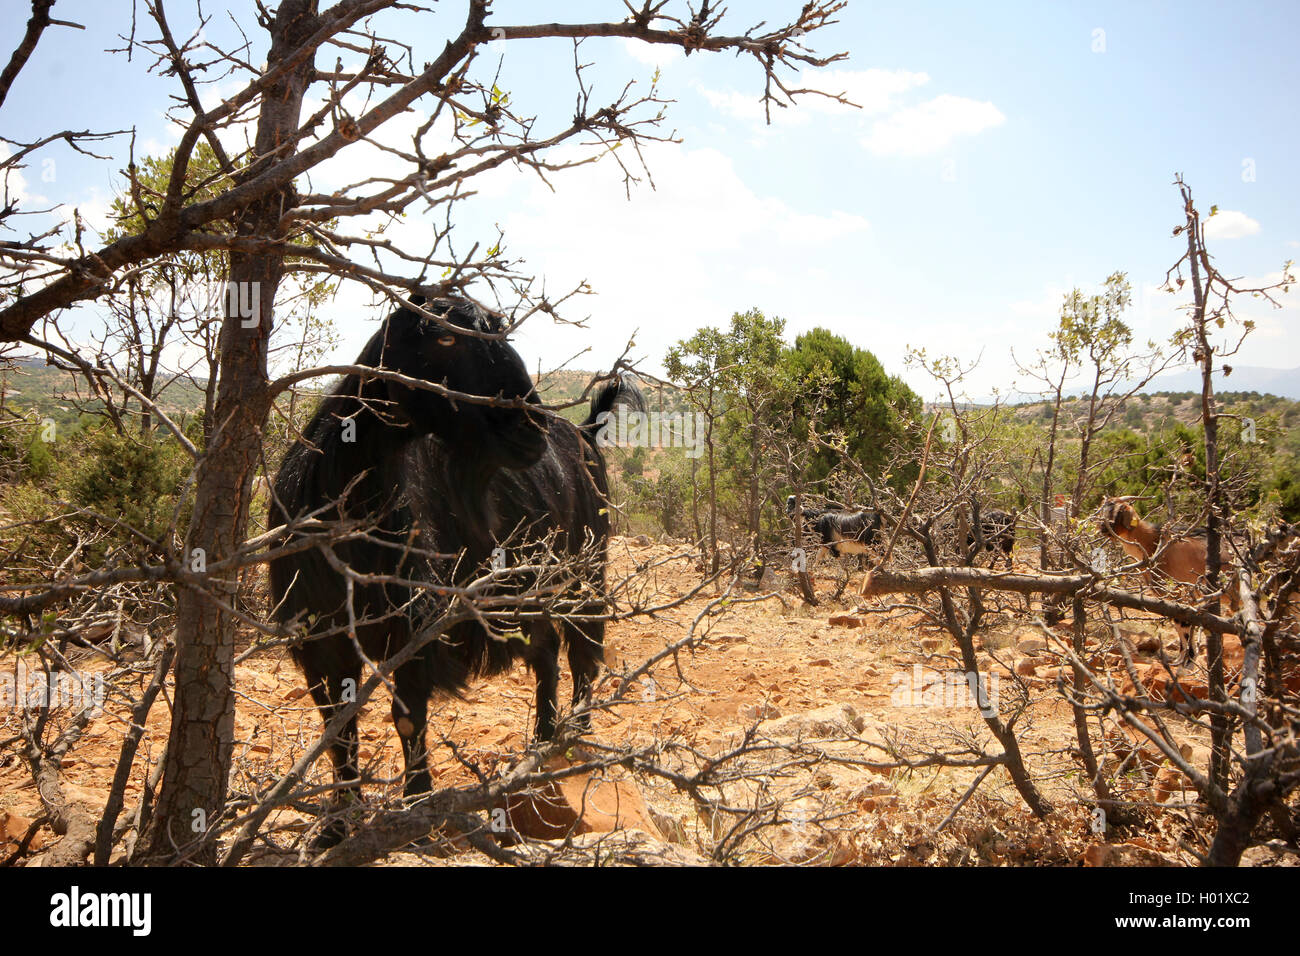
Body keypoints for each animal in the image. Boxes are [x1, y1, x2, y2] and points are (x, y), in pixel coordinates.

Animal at [268, 296, 643, 845]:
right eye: (444, 336)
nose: (528, 426)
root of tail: (585, 433)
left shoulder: (414, 633)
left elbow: (407, 717)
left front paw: (416, 809)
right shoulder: (321, 643)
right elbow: (339, 732)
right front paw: (337, 825)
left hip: (583, 572)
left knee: (581, 650)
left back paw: (571, 735)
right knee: (546, 653)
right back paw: (541, 740)